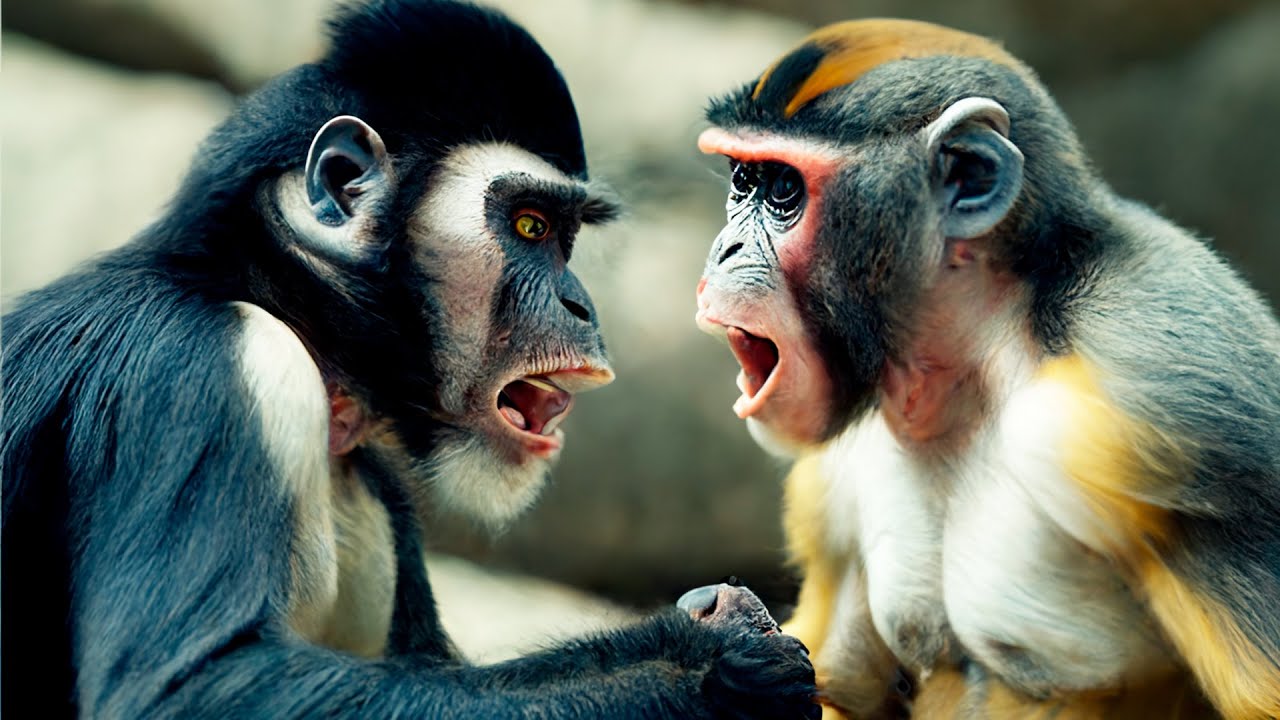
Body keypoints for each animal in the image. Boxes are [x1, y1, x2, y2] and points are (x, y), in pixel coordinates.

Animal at [0, 1, 821, 717]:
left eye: (565, 237)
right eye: (531, 226)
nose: (582, 305)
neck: (275, 296)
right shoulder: (201, 365)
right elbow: (188, 688)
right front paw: (718, 658)